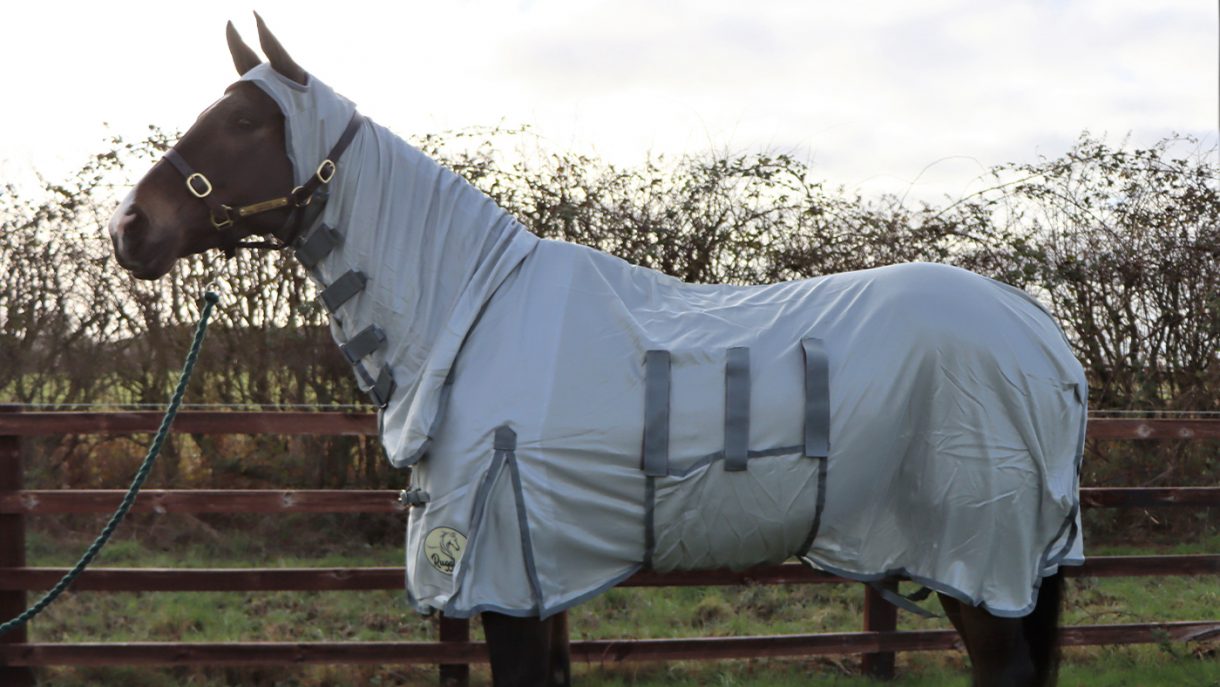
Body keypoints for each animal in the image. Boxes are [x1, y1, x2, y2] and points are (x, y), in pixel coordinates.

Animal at [109, 16, 1086, 687]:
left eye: (243, 120)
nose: (129, 229)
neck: (468, 313)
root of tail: (1044, 337)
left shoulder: (500, 576)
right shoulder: (537, 581)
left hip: (977, 562)